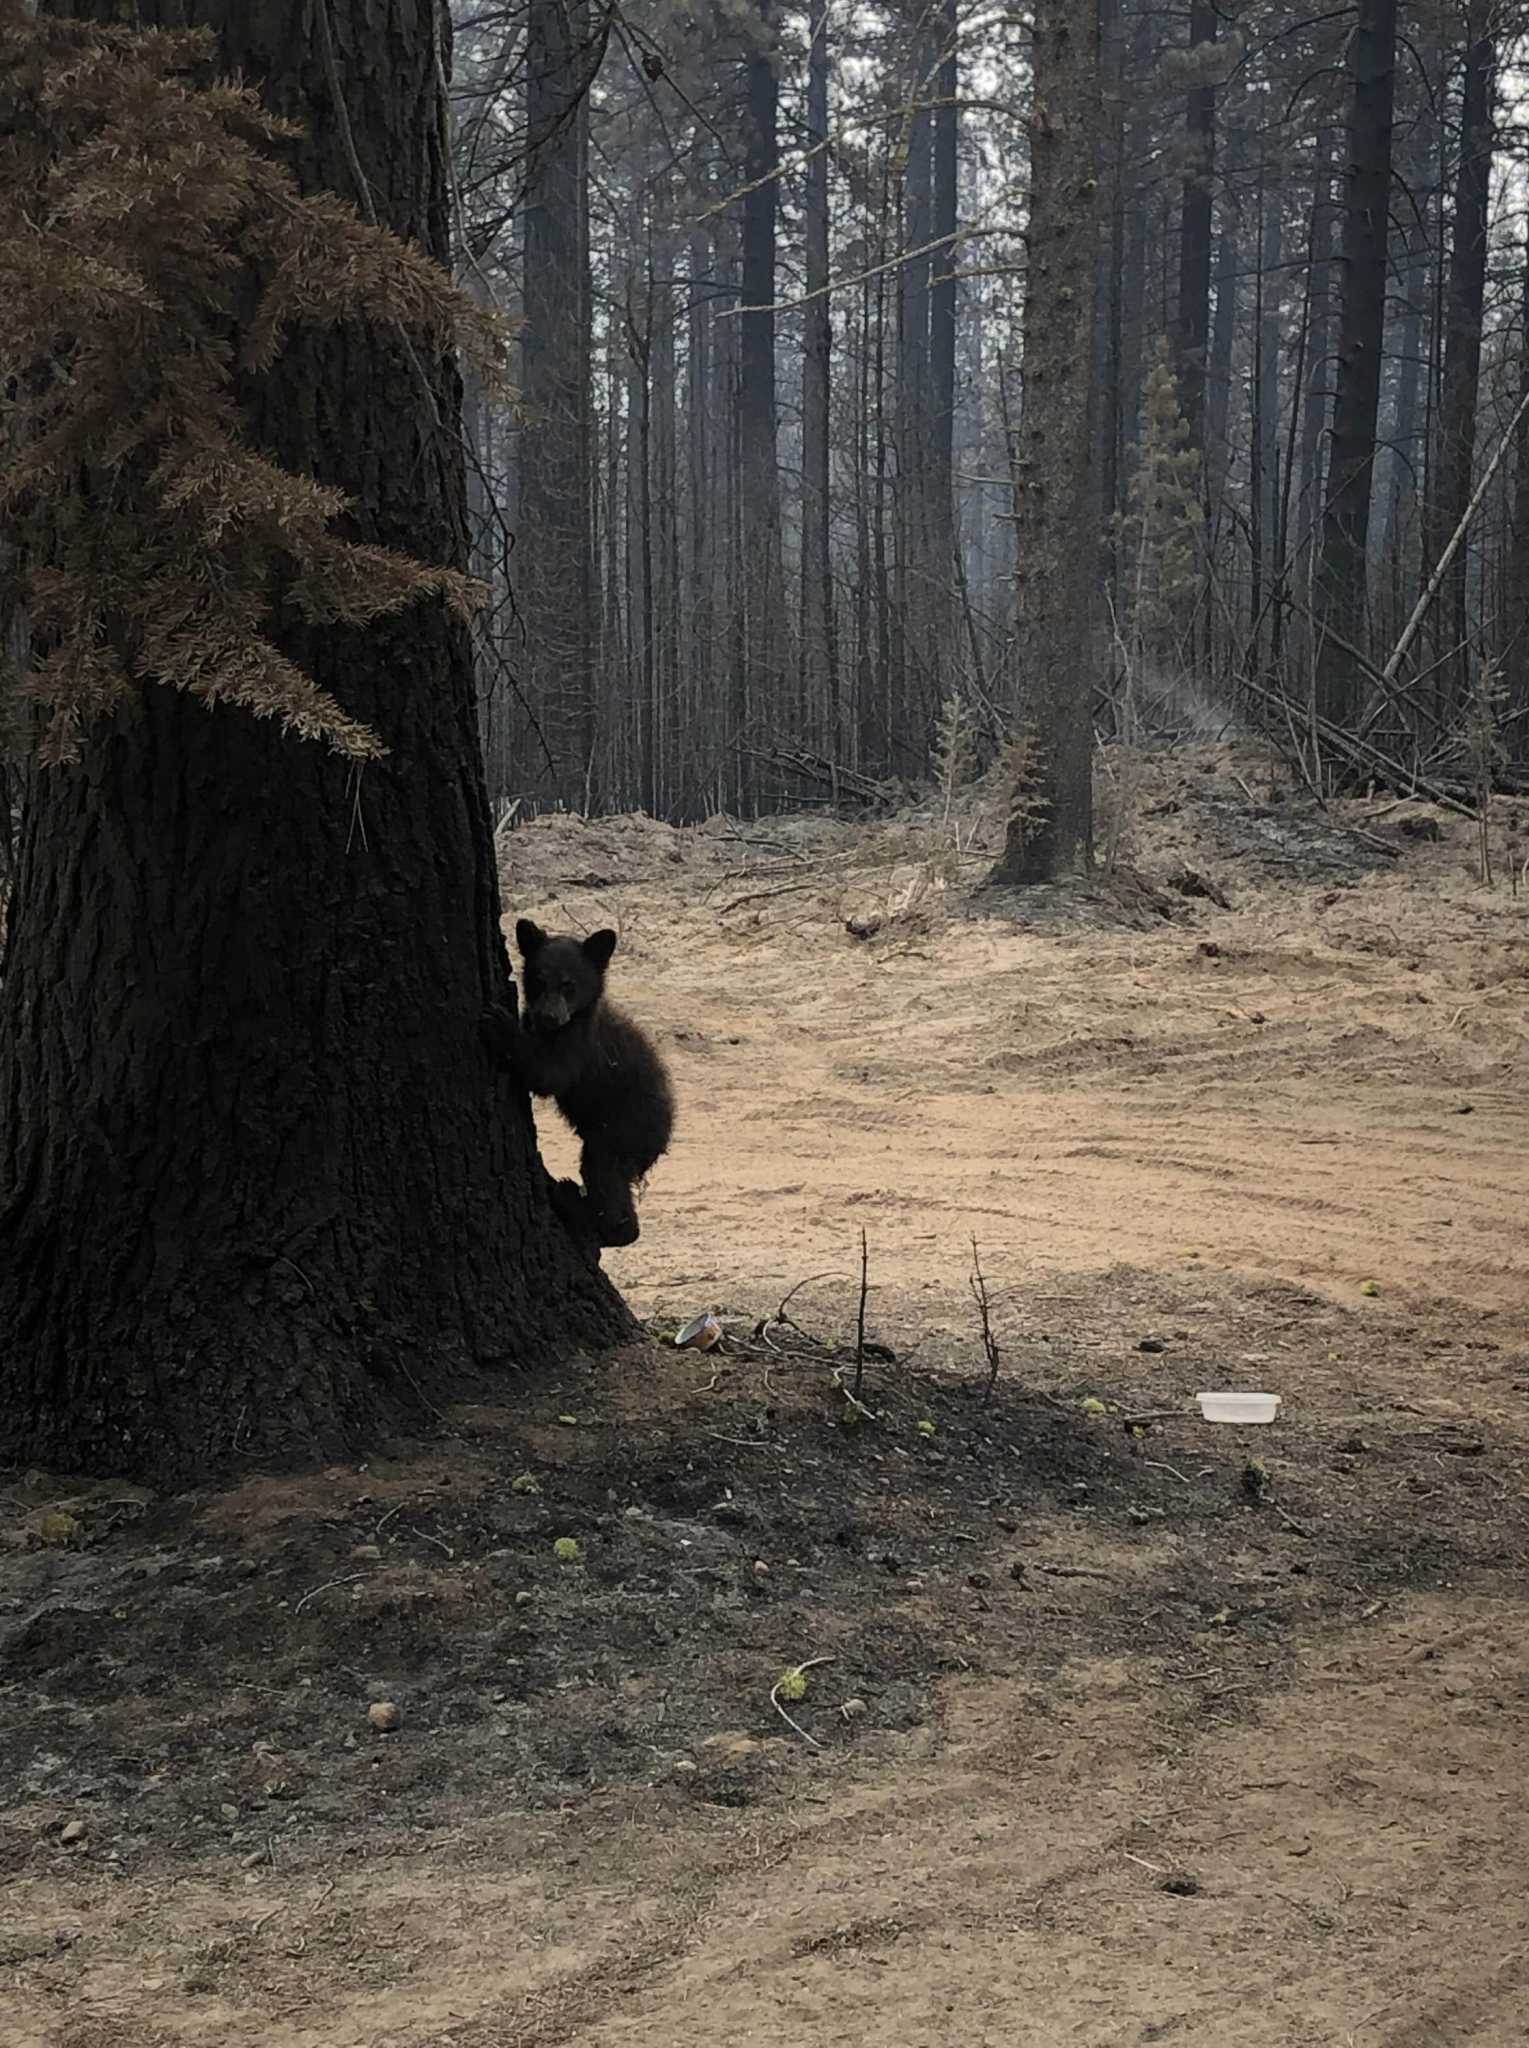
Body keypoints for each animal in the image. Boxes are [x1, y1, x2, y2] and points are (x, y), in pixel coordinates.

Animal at [481, 919, 674, 1249]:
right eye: (539, 980)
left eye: (568, 984)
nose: (548, 1016)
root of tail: (664, 1137)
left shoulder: (580, 1045)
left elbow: (550, 1075)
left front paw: (504, 1027)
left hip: (624, 1126)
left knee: (603, 1173)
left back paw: (580, 1205)